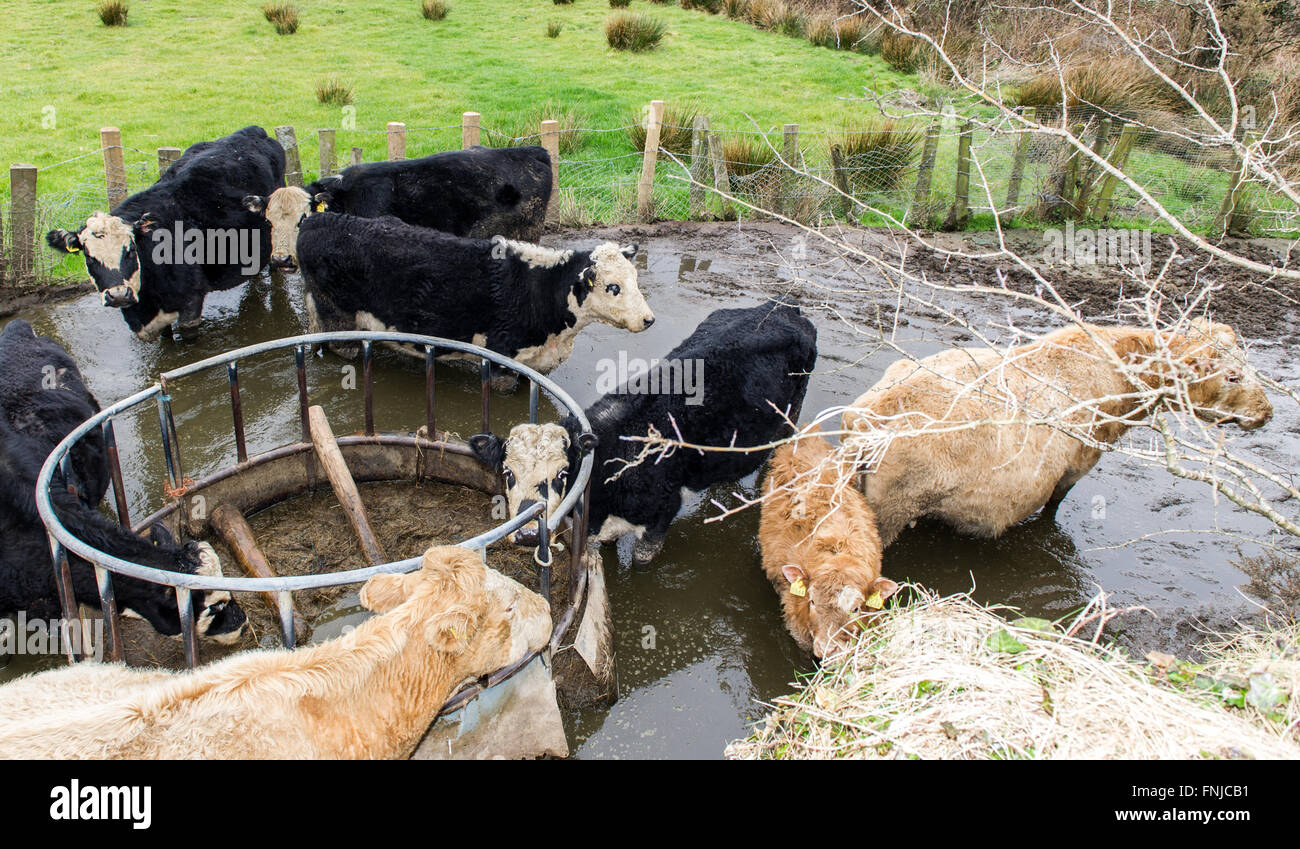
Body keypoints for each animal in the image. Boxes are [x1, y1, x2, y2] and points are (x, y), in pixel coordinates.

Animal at [296, 212, 654, 377]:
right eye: (613, 287)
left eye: (635, 279)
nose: (649, 319)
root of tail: (319, 218)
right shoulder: (502, 361)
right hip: (338, 320)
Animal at [470, 301, 818, 567]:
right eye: (508, 473)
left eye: (563, 473)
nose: (528, 534)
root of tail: (785, 307)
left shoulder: (660, 518)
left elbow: (640, 562)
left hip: (791, 415)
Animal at [841, 318, 1274, 547]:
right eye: (1233, 376)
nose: (1266, 413)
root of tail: (867, 420)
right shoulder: (1077, 466)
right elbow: (1053, 506)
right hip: (890, 510)